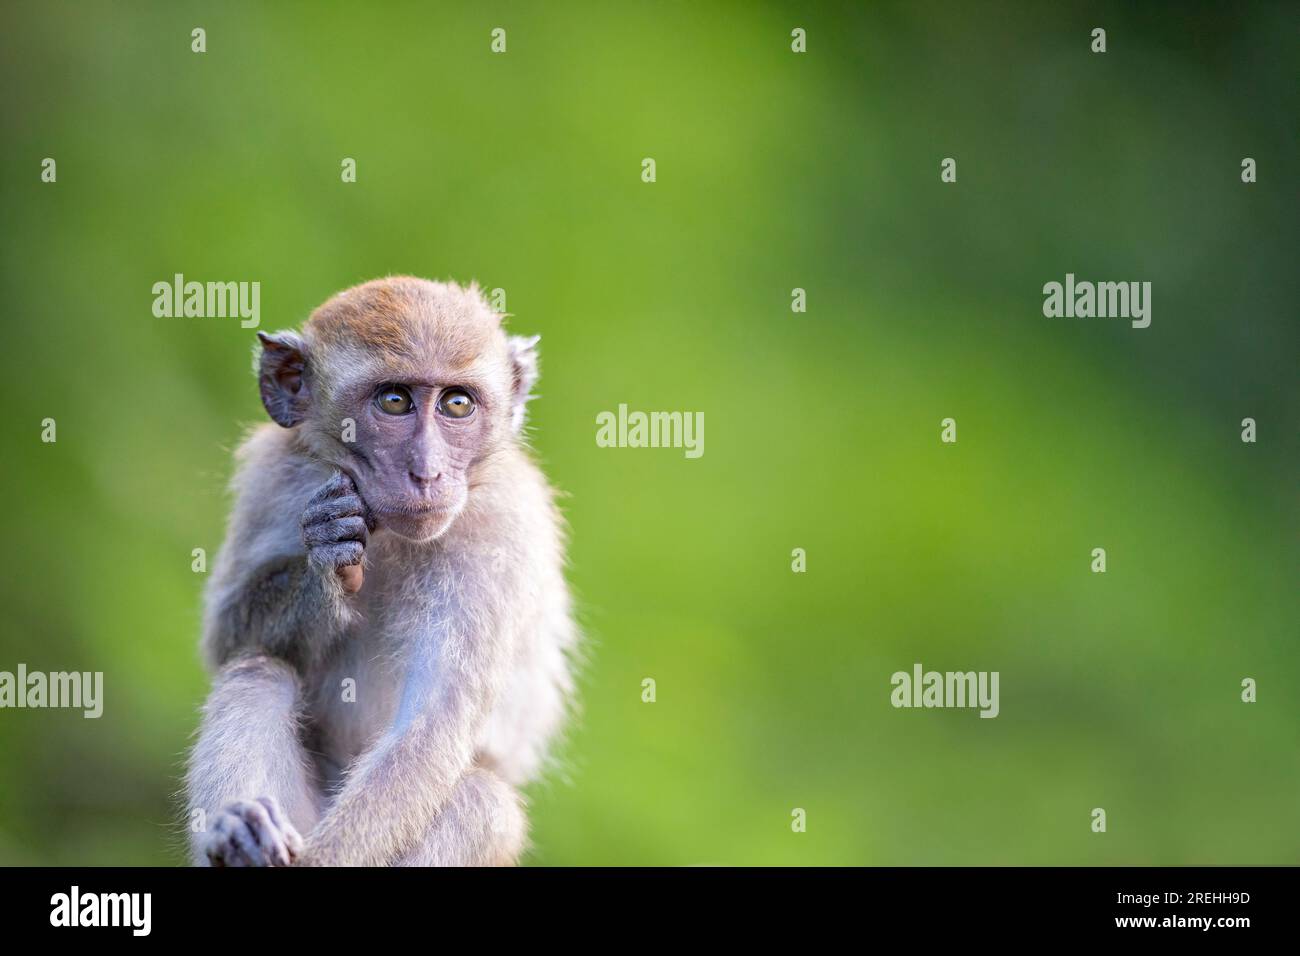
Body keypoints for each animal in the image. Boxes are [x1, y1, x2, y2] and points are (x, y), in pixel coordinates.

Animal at [185, 277, 576, 866]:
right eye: (394, 401)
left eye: (457, 404)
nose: (427, 473)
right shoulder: (273, 477)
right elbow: (227, 637)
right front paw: (326, 559)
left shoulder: (503, 531)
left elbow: (428, 734)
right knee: (257, 671)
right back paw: (242, 831)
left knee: (480, 803)